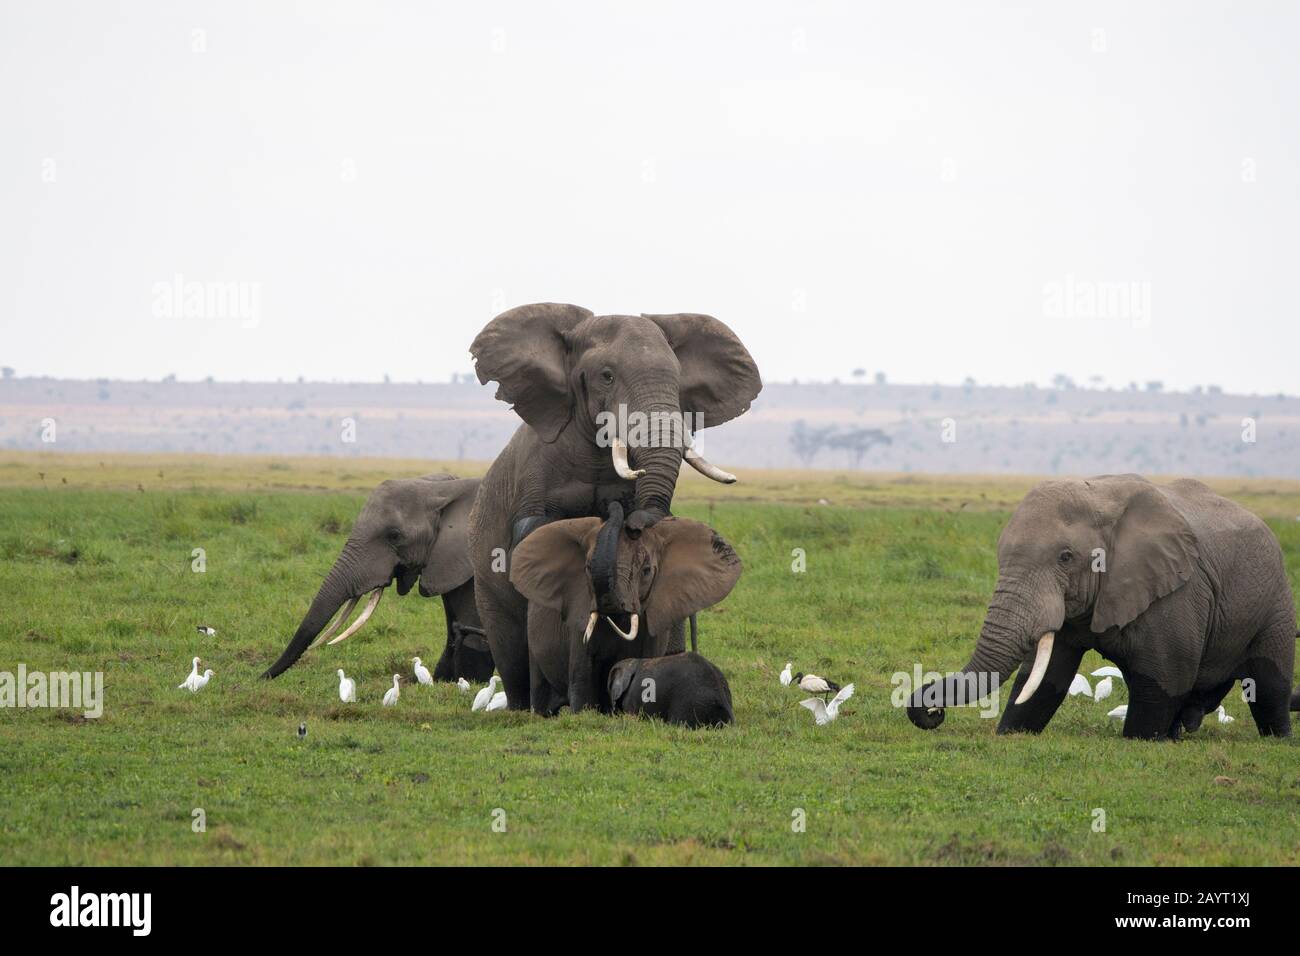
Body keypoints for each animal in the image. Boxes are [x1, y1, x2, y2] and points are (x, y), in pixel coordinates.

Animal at [906, 475, 1296, 740]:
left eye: (1065, 557)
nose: (933, 711)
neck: (1099, 496)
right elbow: (1044, 678)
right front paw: (1012, 734)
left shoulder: (1178, 594)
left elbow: (1161, 684)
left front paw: (1142, 741)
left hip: (1275, 601)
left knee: (1268, 687)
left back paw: (1278, 739)